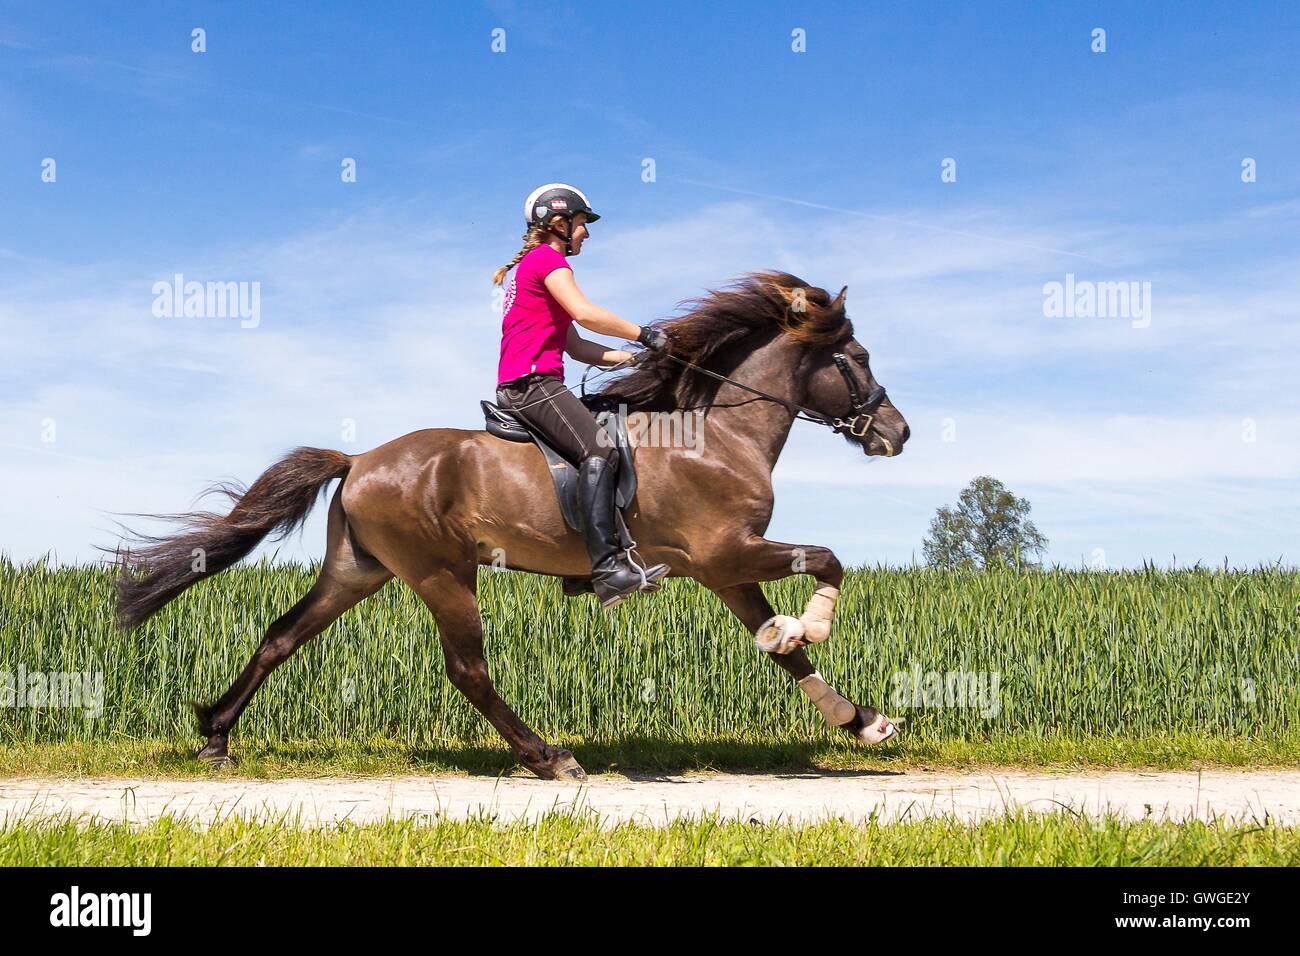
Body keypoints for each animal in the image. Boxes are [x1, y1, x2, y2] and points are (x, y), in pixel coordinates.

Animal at [114, 271, 910, 781]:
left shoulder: (726, 567)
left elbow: (782, 652)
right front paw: (815, 629)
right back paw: (549, 757)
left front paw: (860, 719)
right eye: (860, 358)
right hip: (442, 573)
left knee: (281, 636)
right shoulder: (726, 553)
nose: (897, 433)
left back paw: (216, 737)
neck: (716, 436)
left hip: (358, 570)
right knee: (467, 669)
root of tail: (361, 458)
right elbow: (829, 560)